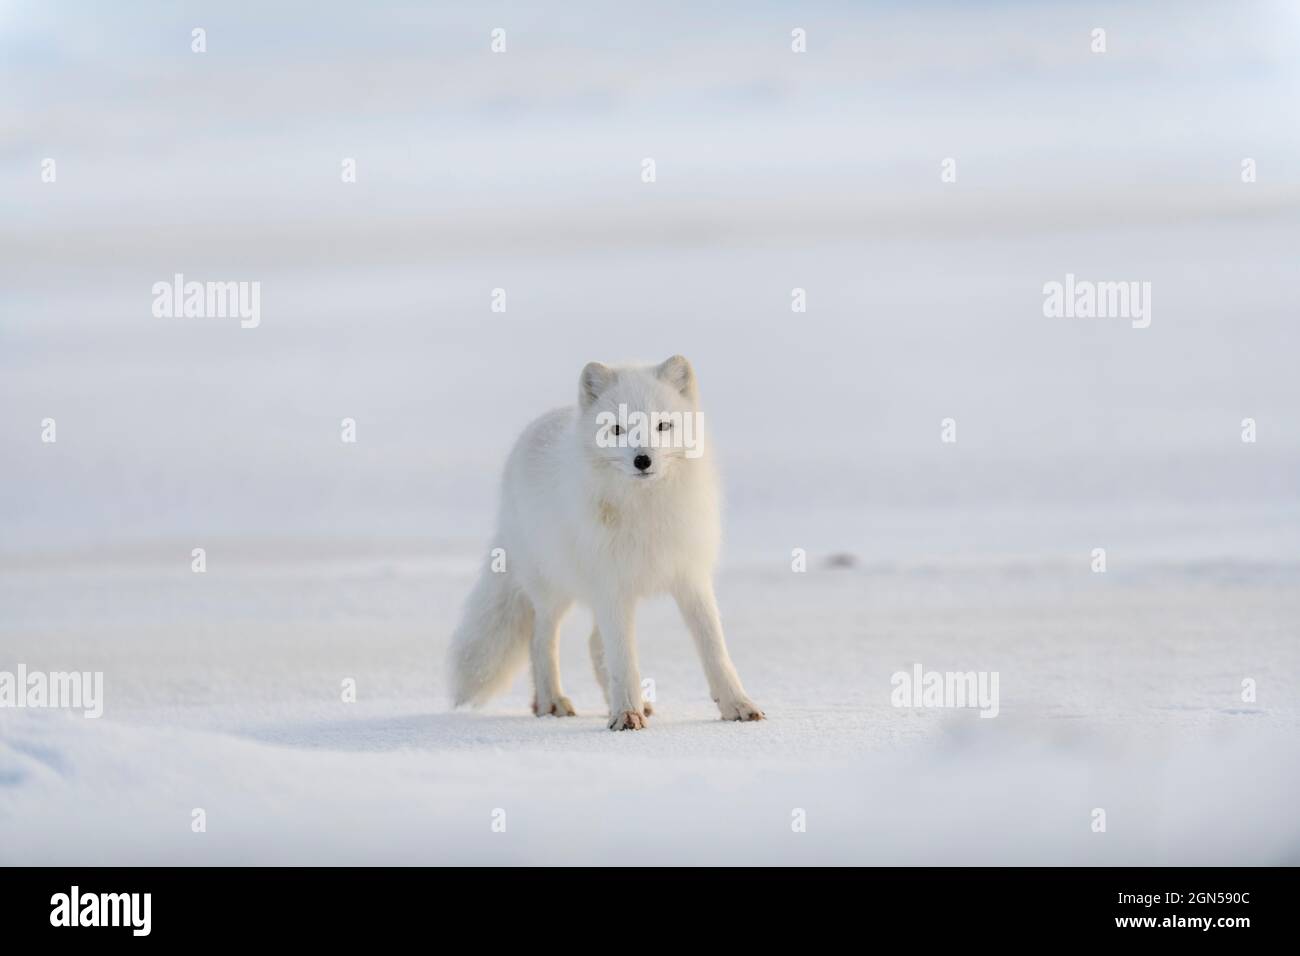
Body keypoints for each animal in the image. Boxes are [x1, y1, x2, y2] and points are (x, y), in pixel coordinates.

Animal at [448, 355, 764, 730]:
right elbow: (624, 660)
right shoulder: (611, 586)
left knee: (592, 643)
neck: (646, 512)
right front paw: (626, 714)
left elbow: (715, 650)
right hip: (554, 590)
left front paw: (738, 705)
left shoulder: (690, 579)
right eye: (616, 429)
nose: (642, 460)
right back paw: (551, 702)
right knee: (541, 640)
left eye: (663, 425)